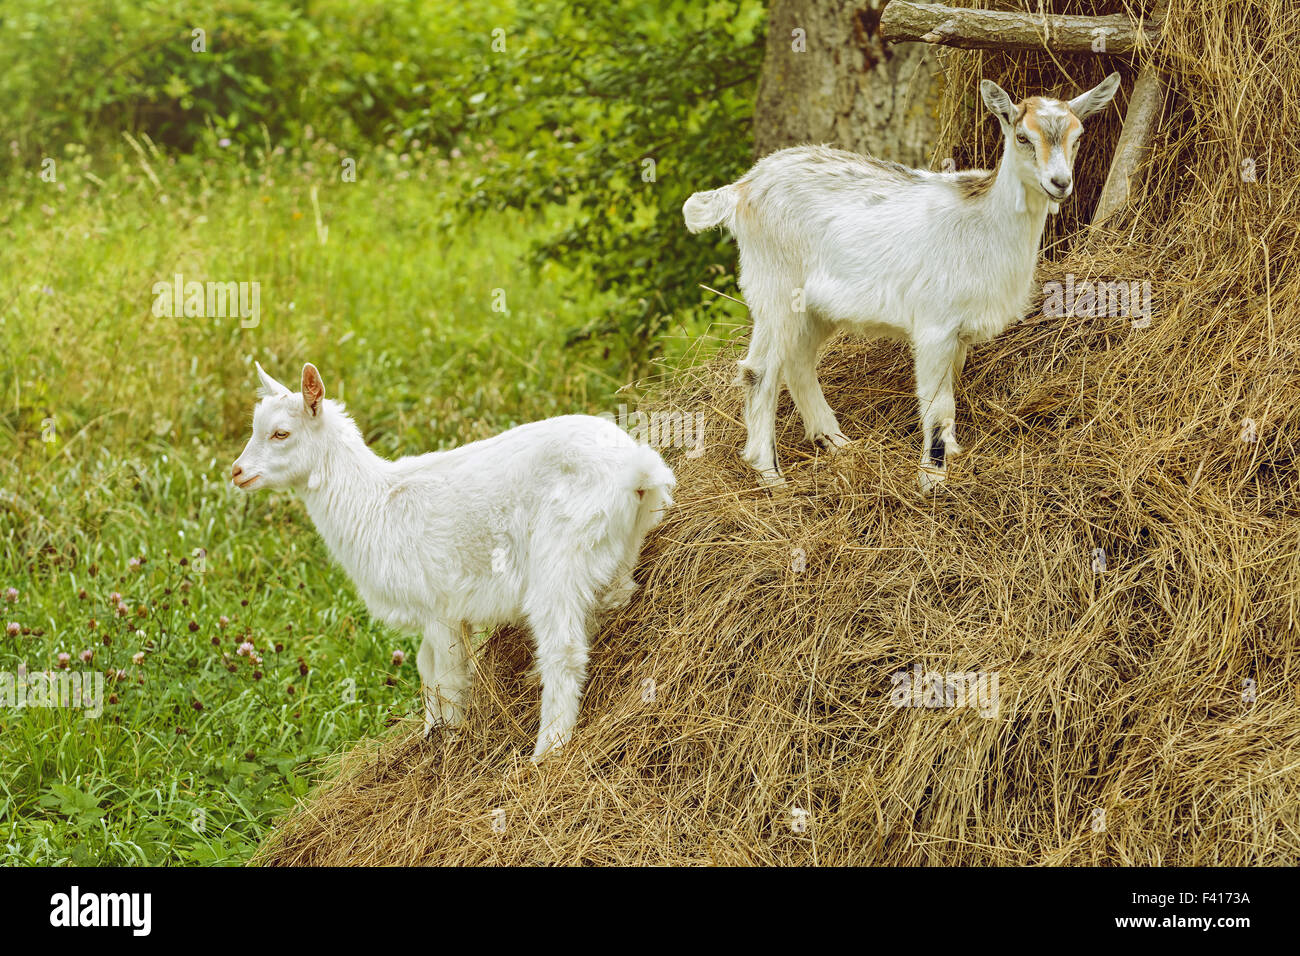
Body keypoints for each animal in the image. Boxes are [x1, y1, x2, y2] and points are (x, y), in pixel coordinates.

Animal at [232, 363, 676, 761]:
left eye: (281, 433)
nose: (236, 472)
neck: (376, 503)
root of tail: (639, 471)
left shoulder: (440, 605)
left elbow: (444, 676)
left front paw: (451, 739)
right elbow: (425, 667)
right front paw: (431, 733)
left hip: (560, 557)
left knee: (563, 650)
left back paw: (546, 750)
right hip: (618, 546)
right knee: (611, 603)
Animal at [683, 73, 1121, 491]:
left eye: (1077, 137)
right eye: (1023, 137)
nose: (1060, 182)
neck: (983, 224)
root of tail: (743, 187)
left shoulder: (958, 335)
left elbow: (948, 394)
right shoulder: (934, 327)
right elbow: (938, 404)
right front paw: (932, 482)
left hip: (814, 308)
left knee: (798, 361)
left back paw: (836, 442)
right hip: (775, 286)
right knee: (759, 370)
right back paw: (771, 476)